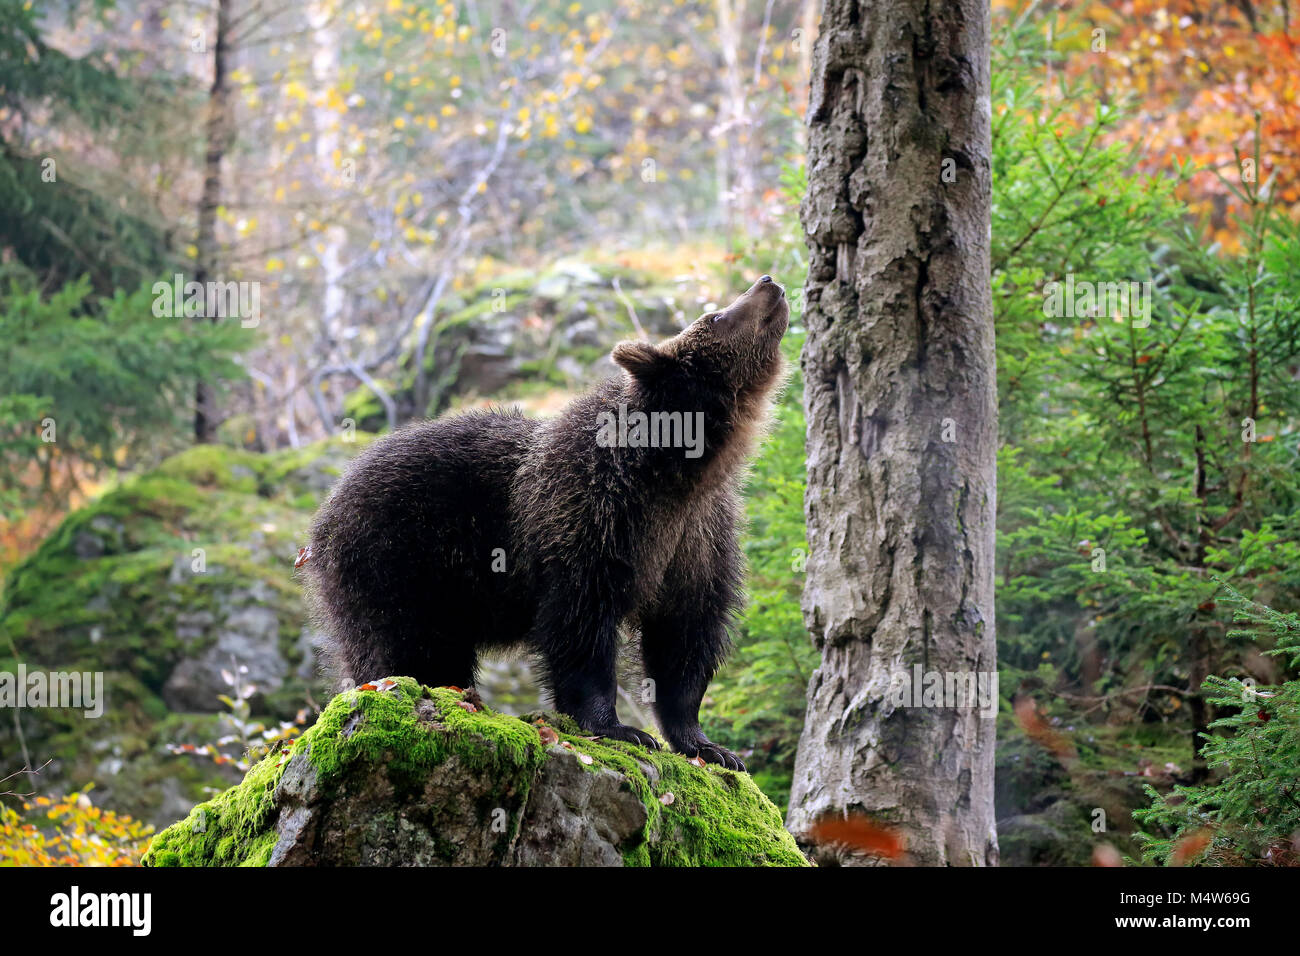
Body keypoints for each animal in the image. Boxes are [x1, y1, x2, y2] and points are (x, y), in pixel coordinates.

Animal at [301, 274, 789, 770]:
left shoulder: (698, 535)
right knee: (399, 644)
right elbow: (580, 628)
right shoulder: (591, 518)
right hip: (397, 557)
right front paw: (619, 727)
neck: (679, 471)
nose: (768, 282)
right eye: (715, 316)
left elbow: (684, 637)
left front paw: (708, 745)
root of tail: (328, 506)